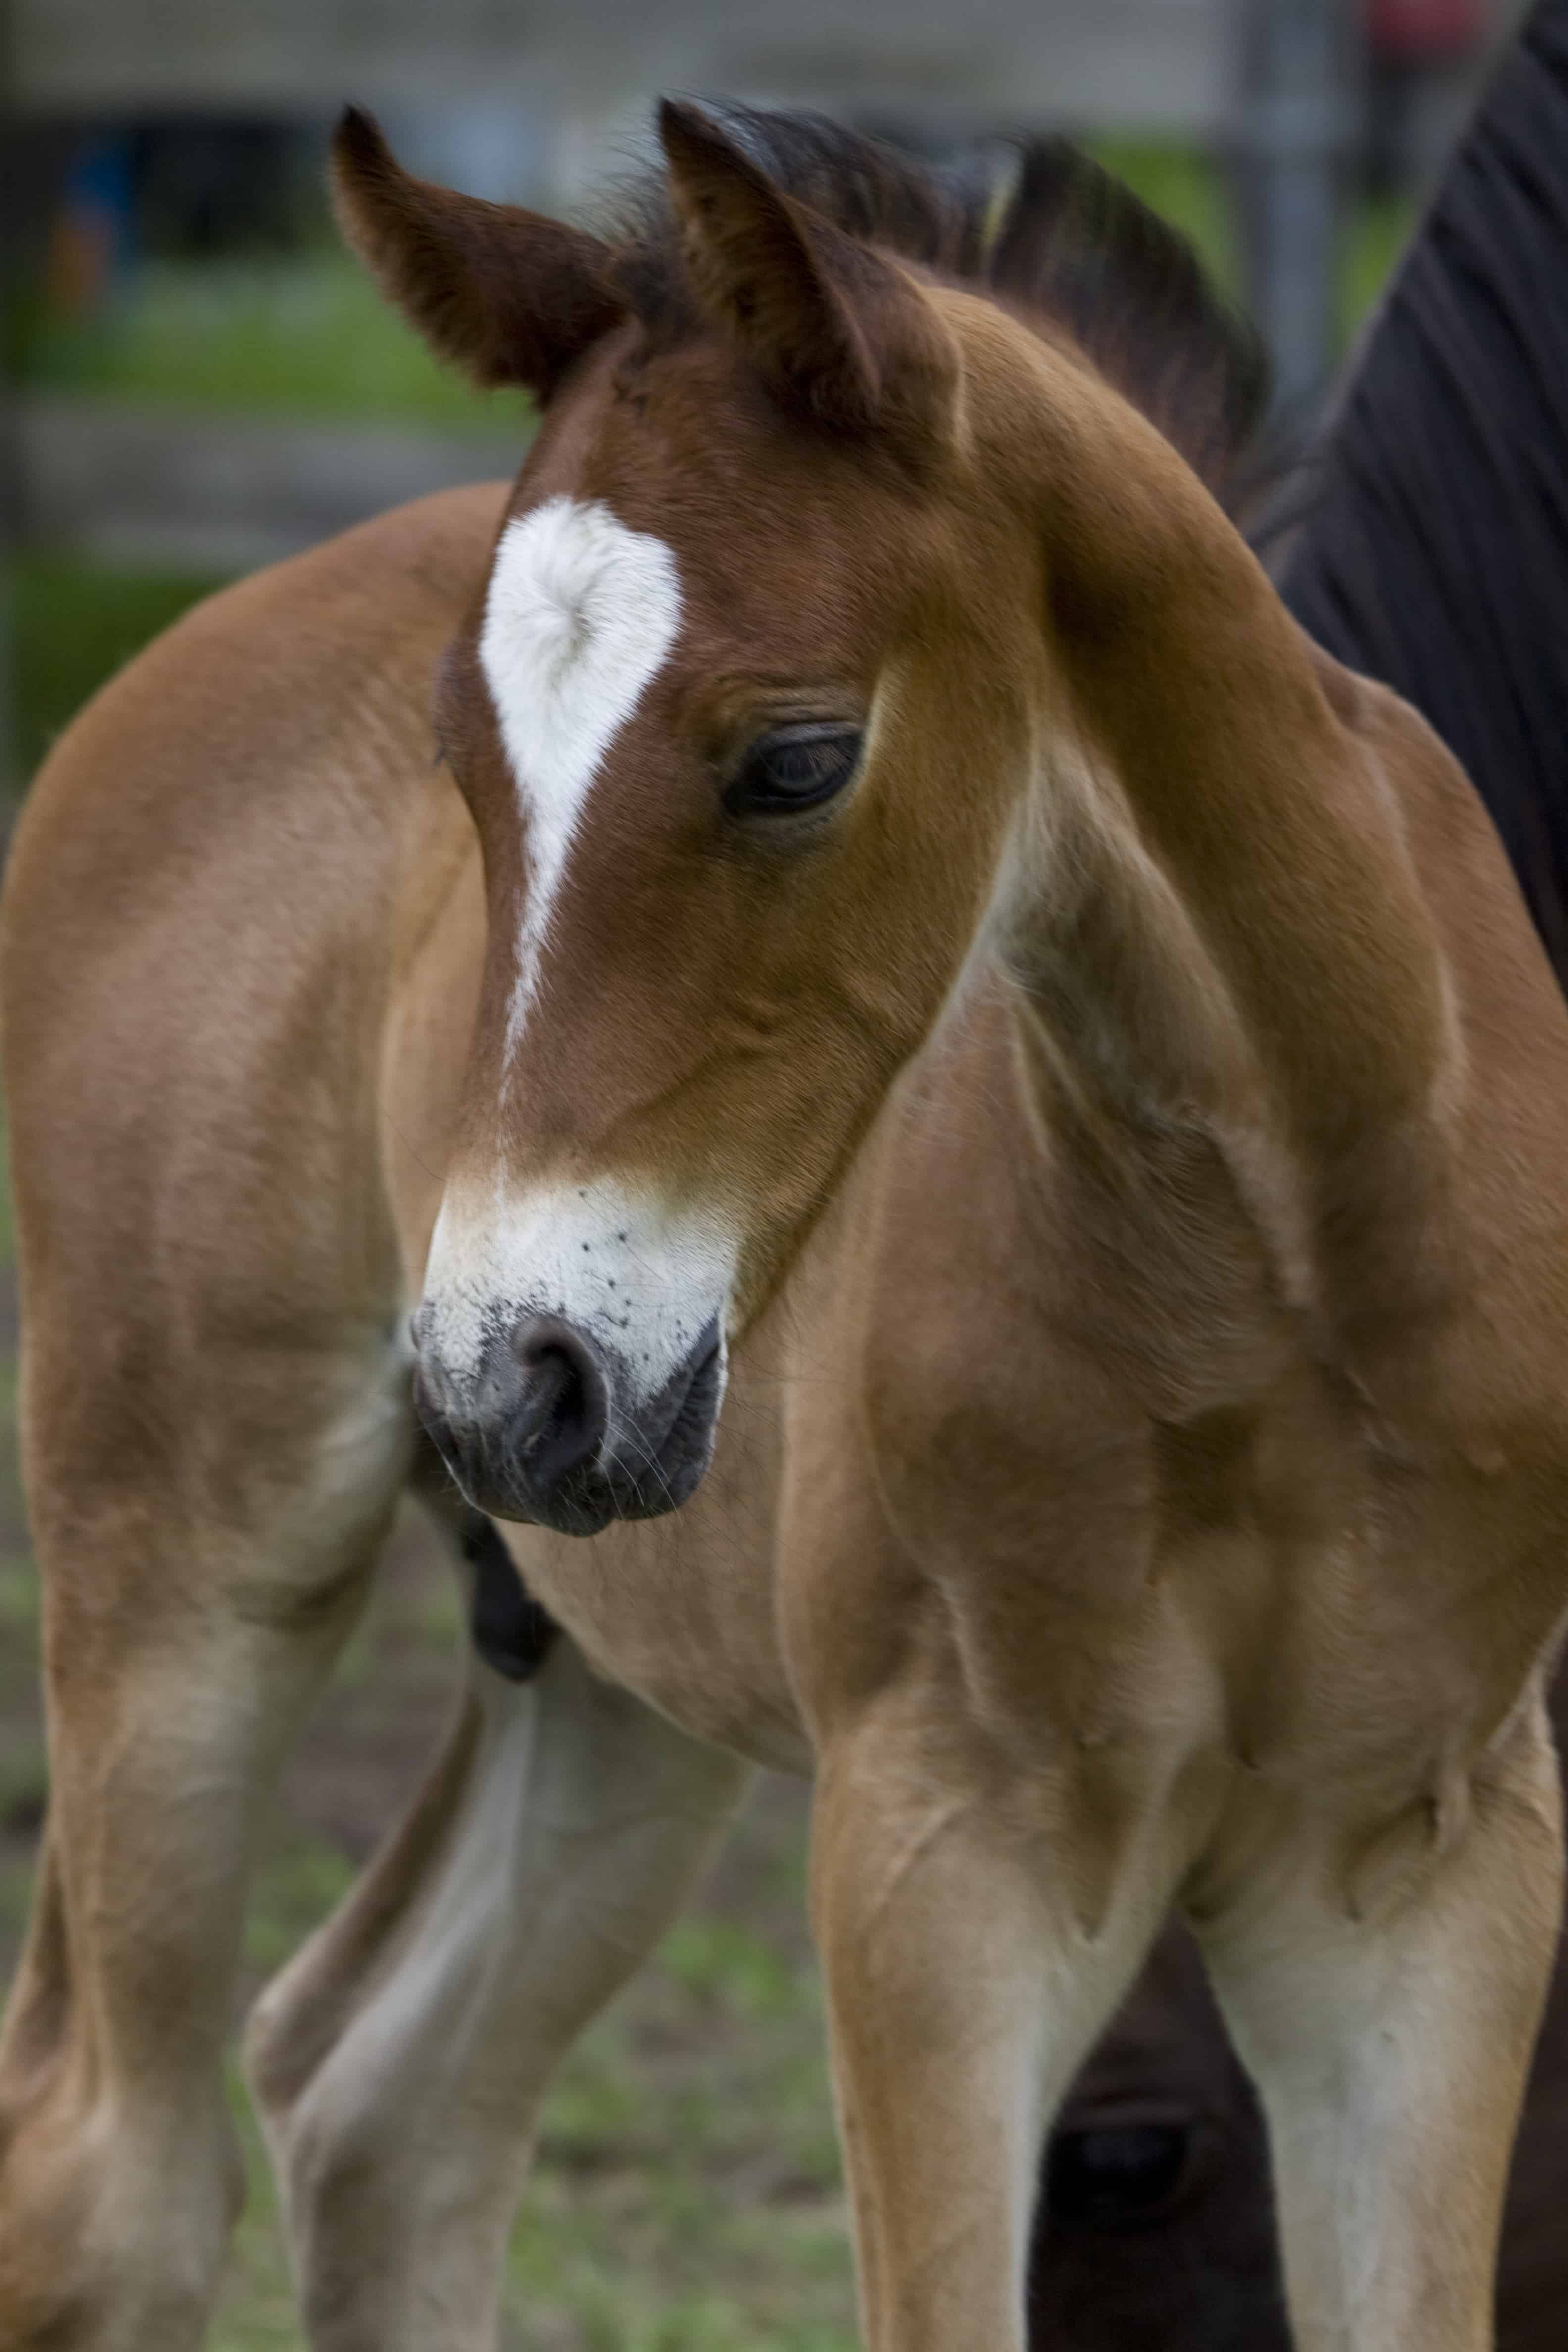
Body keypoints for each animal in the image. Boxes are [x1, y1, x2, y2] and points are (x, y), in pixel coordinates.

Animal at [4, 90, 1568, 2352]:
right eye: (461, 760)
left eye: (800, 760)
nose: (510, 1376)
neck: (1297, 1248)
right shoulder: (940, 1855)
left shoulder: (1426, 1872)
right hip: (185, 1537)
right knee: (110, 2174)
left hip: (608, 1666)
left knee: (387, 2101)